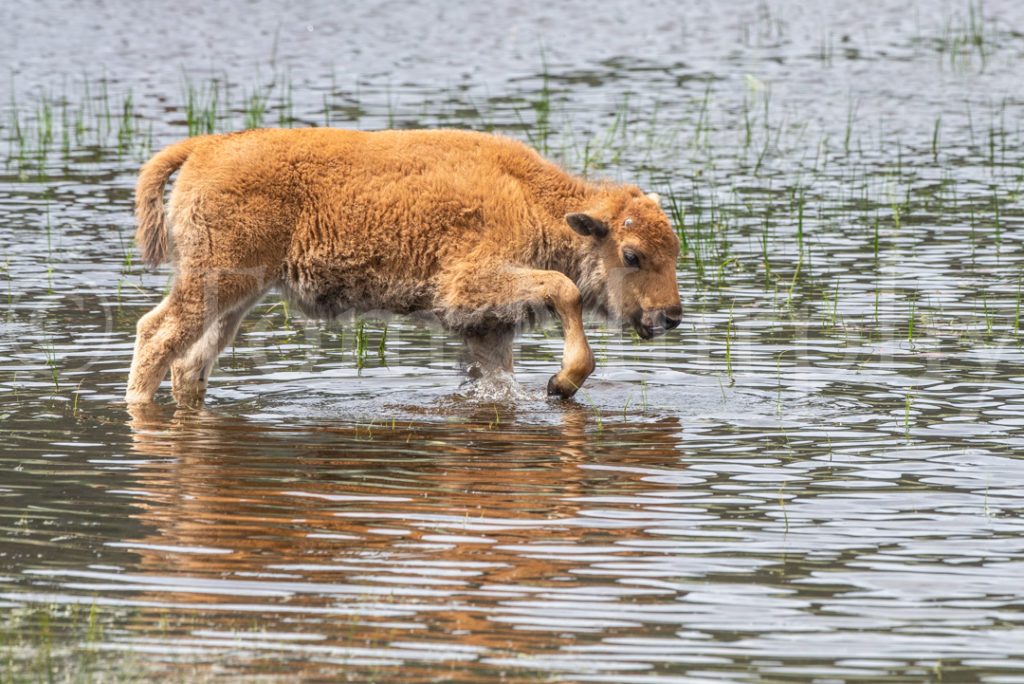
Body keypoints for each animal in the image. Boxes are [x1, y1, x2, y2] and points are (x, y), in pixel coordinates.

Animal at [124, 128, 682, 407]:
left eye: (676, 250)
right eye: (632, 255)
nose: (671, 316)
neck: (528, 197)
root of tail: (204, 146)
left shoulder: (487, 327)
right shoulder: (466, 285)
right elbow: (565, 289)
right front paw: (561, 383)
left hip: (238, 294)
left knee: (191, 361)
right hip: (215, 277)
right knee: (157, 332)